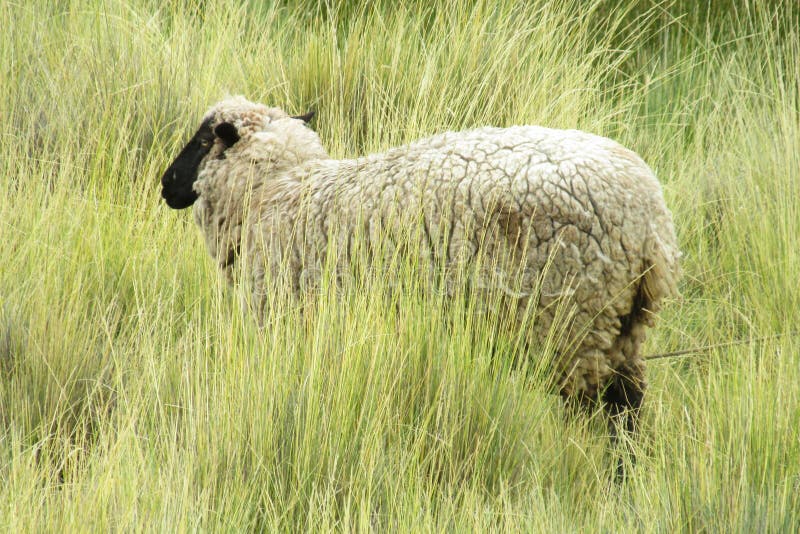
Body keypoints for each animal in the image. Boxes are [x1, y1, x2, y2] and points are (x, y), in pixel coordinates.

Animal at [160, 96, 681, 472]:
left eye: (202, 140)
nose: (165, 185)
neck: (279, 190)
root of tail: (649, 221)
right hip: (620, 331)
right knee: (630, 412)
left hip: (569, 324)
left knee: (601, 418)